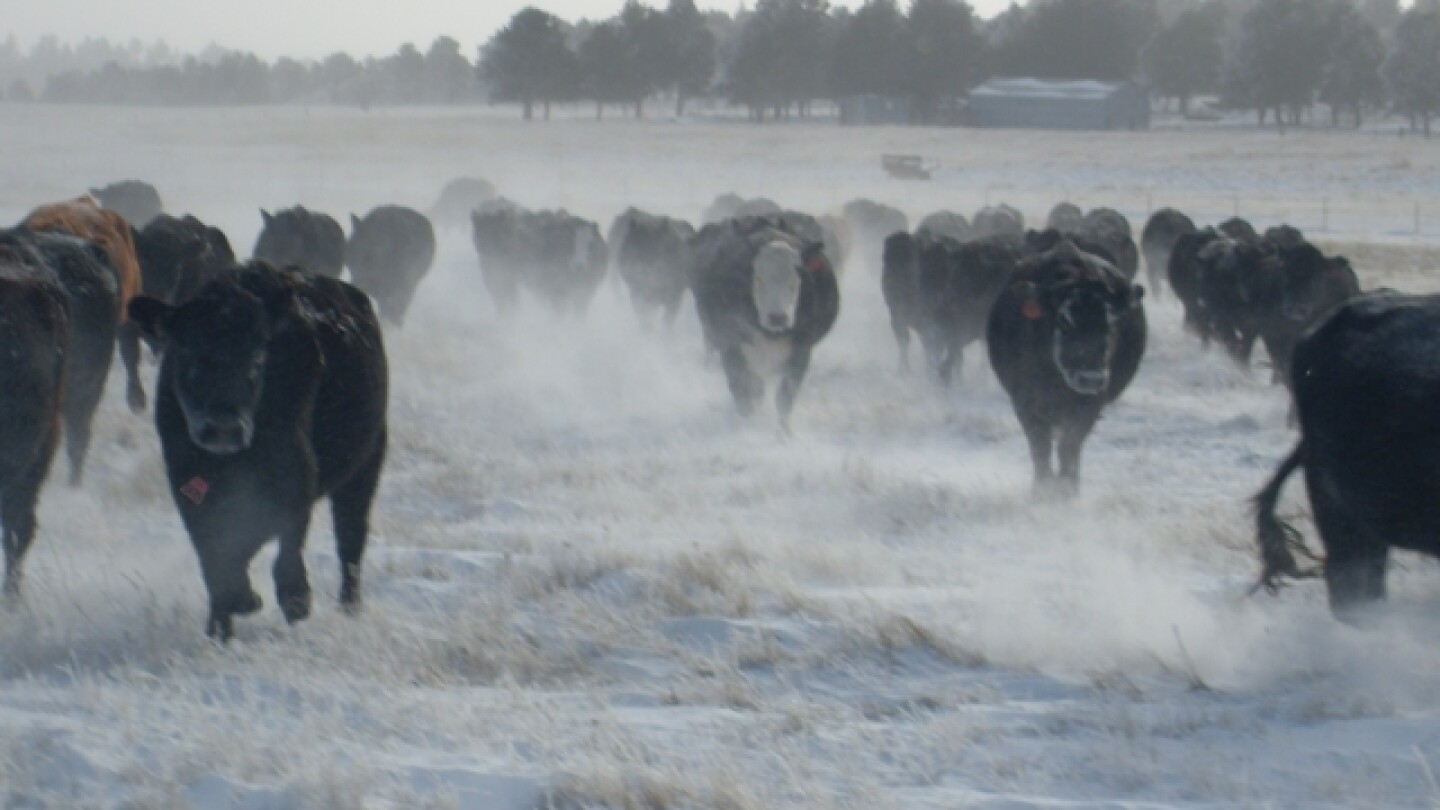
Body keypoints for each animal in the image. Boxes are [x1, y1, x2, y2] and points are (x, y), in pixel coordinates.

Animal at [128, 261, 388, 640]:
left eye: (256, 357)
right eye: (185, 352)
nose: (223, 427)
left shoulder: (295, 479)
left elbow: (279, 544)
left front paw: (293, 601)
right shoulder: (189, 486)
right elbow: (215, 555)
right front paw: (226, 619)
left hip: (364, 470)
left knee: (350, 539)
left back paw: (348, 608)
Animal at [690, 219, 840, 431]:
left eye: (796, 282)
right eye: (758, 278)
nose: (778, 317)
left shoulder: (802, 349)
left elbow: (785, 396)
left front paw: (784, 432)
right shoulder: (731, 345)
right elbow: (742, 389)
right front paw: (747, 426)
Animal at [987, 240, 1146, 497]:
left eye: (1110, 322)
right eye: (1064, 320)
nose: (1090, 378)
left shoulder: (1090, 403)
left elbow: (1070, 447)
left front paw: (1067, 492)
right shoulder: (1025, 402)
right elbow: (1040, 448)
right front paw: (1042, 491)